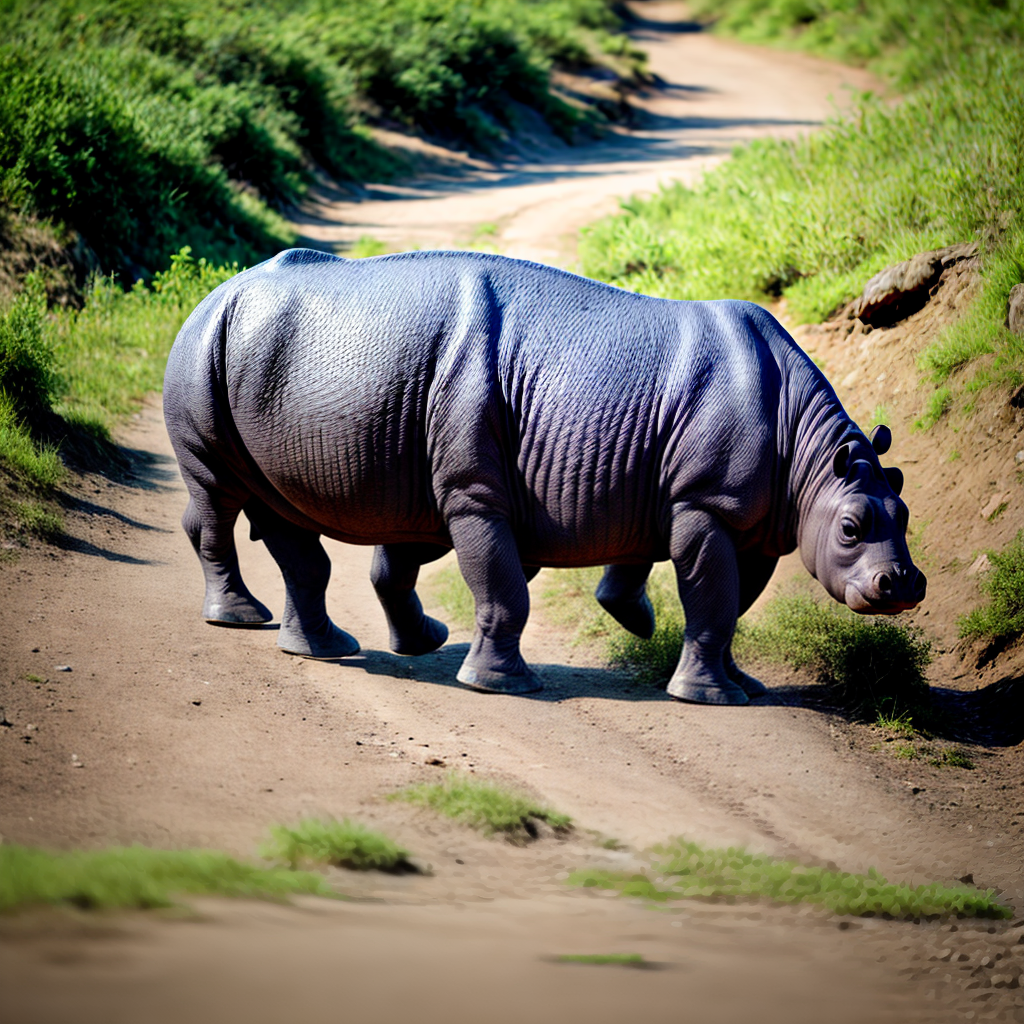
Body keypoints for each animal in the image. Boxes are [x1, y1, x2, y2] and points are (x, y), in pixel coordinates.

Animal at [163, 248, 926, 705]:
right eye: (851, 528)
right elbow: (700, 595)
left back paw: (347, 648)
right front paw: (504, 689)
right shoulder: (706, 502)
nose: (906, 587)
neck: (813, 459)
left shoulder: (745, 516)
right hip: (203, 354)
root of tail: (216, 290)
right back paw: (240, 621)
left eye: (907, 517)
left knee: (302, 523)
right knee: (220, 495)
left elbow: (725, 603)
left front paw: (734, 684)